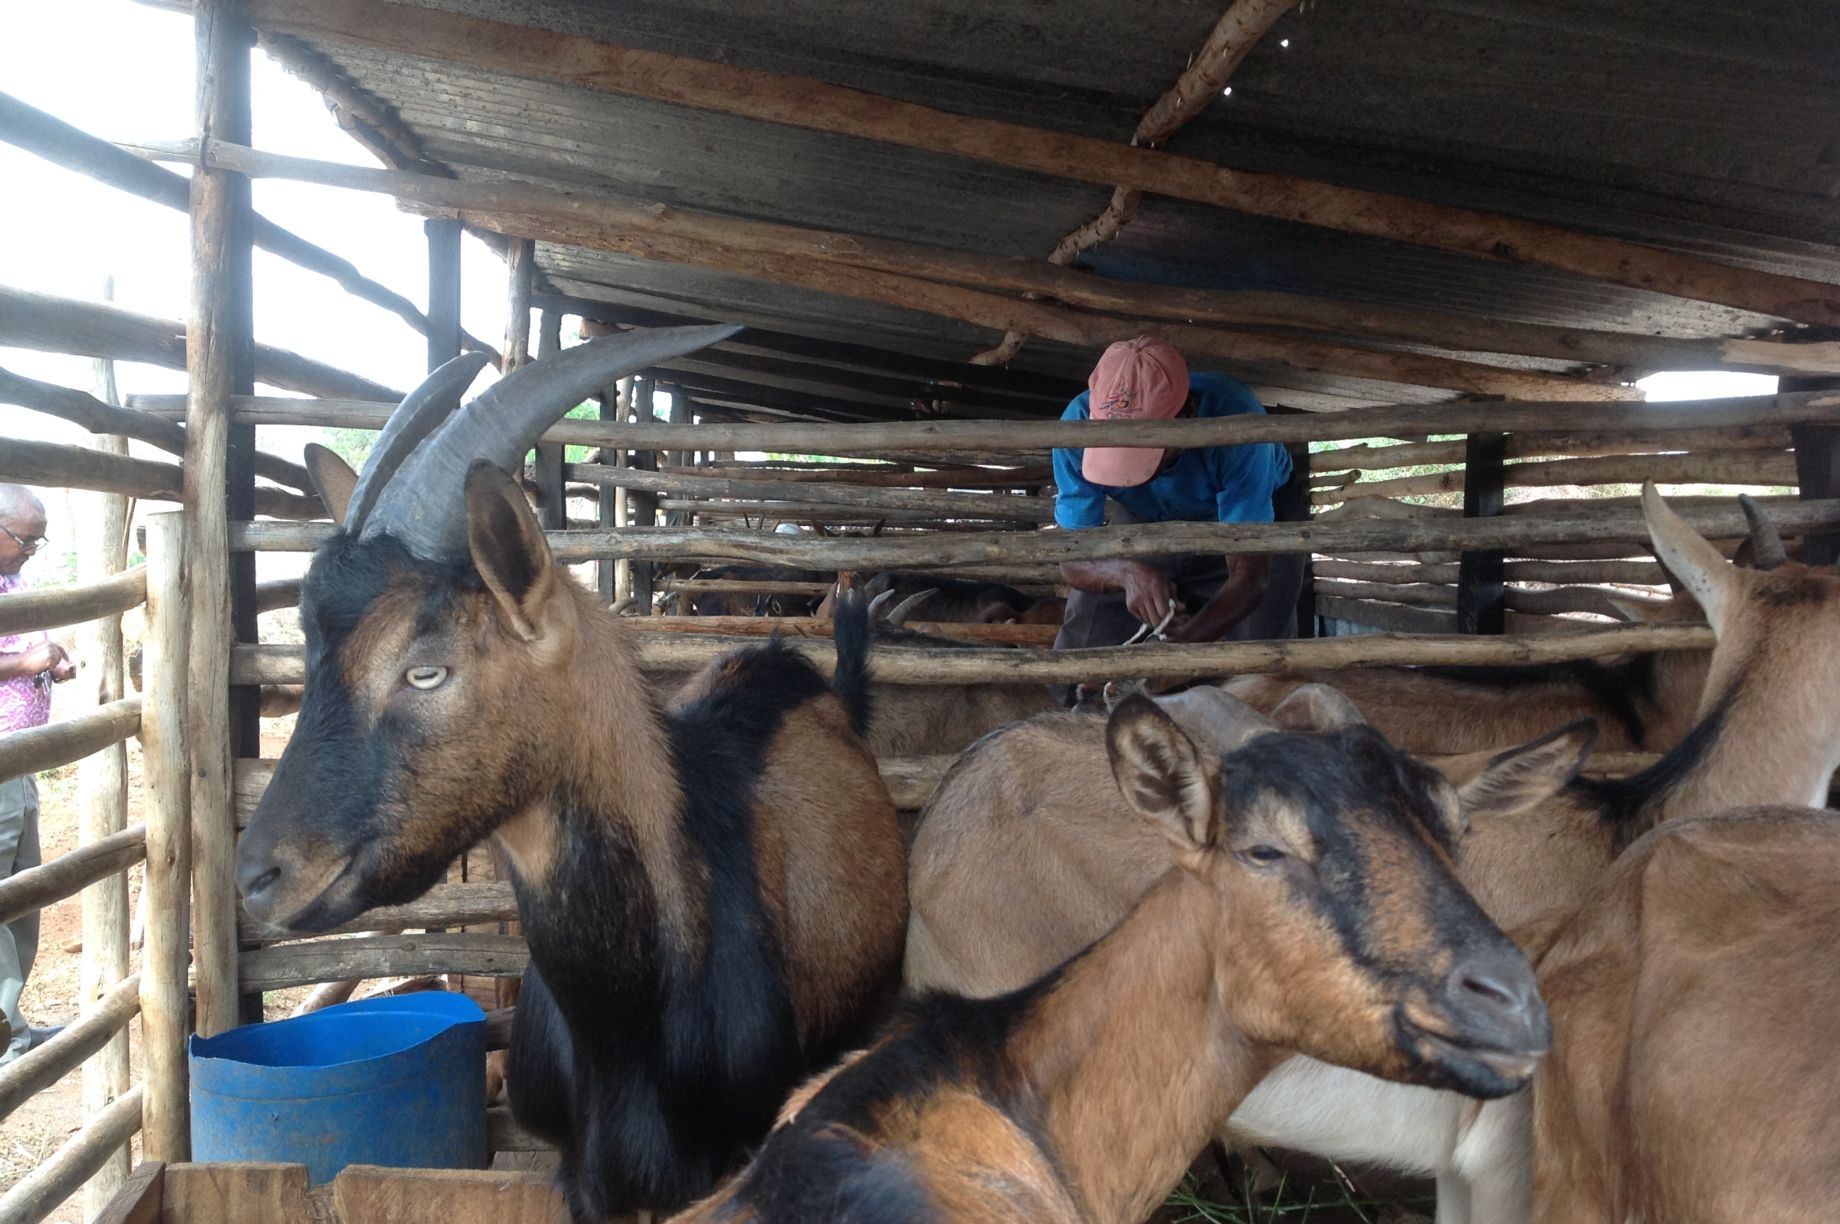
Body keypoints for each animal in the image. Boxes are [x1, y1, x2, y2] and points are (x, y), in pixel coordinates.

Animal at [234, 332, 908, 1222]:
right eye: (310, 657)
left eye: (425, 671)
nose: (258, 875)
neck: (621, 1024)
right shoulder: (577, 1178)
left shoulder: (724, 1166)